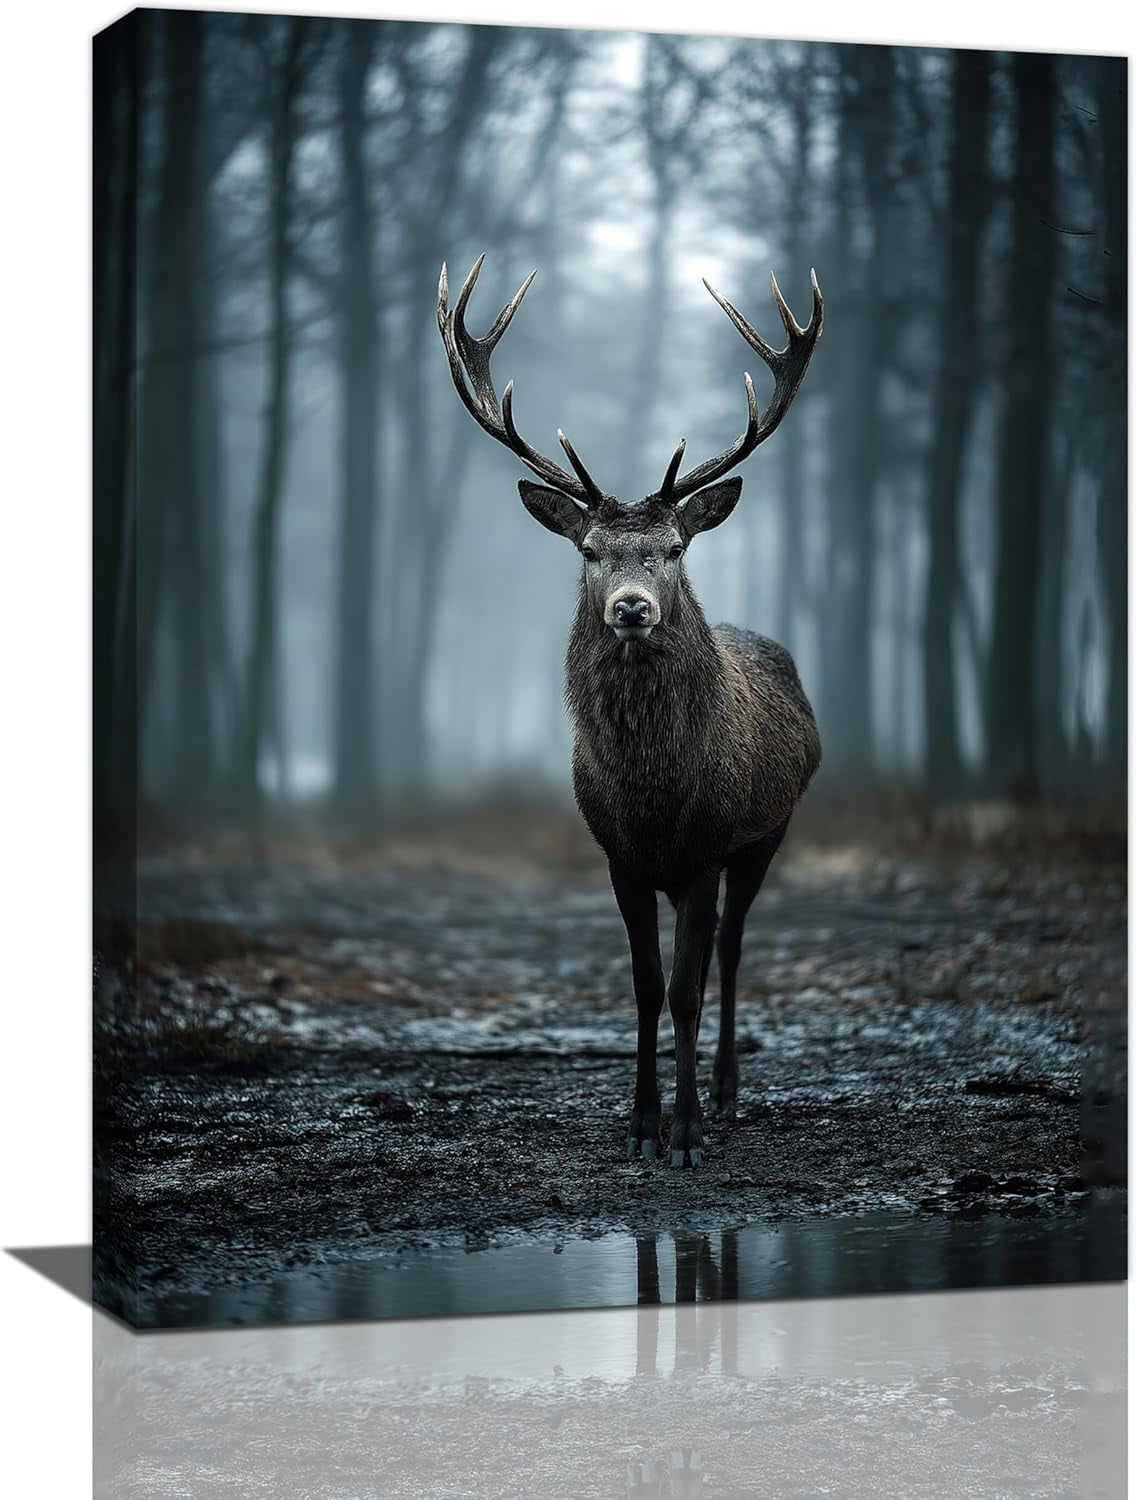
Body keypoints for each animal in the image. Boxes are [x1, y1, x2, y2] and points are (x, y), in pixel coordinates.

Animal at [438, 254, 823, 1168]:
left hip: (768, 833)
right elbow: (646, 988)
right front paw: (641, 1125)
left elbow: (685, 989)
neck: (653, 796)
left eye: (674, 548)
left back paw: (726, 1091)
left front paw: (684, 1133)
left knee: (730, 952)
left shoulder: (708, 848)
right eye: (588, 551)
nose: (633, 608)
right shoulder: (618, 856)